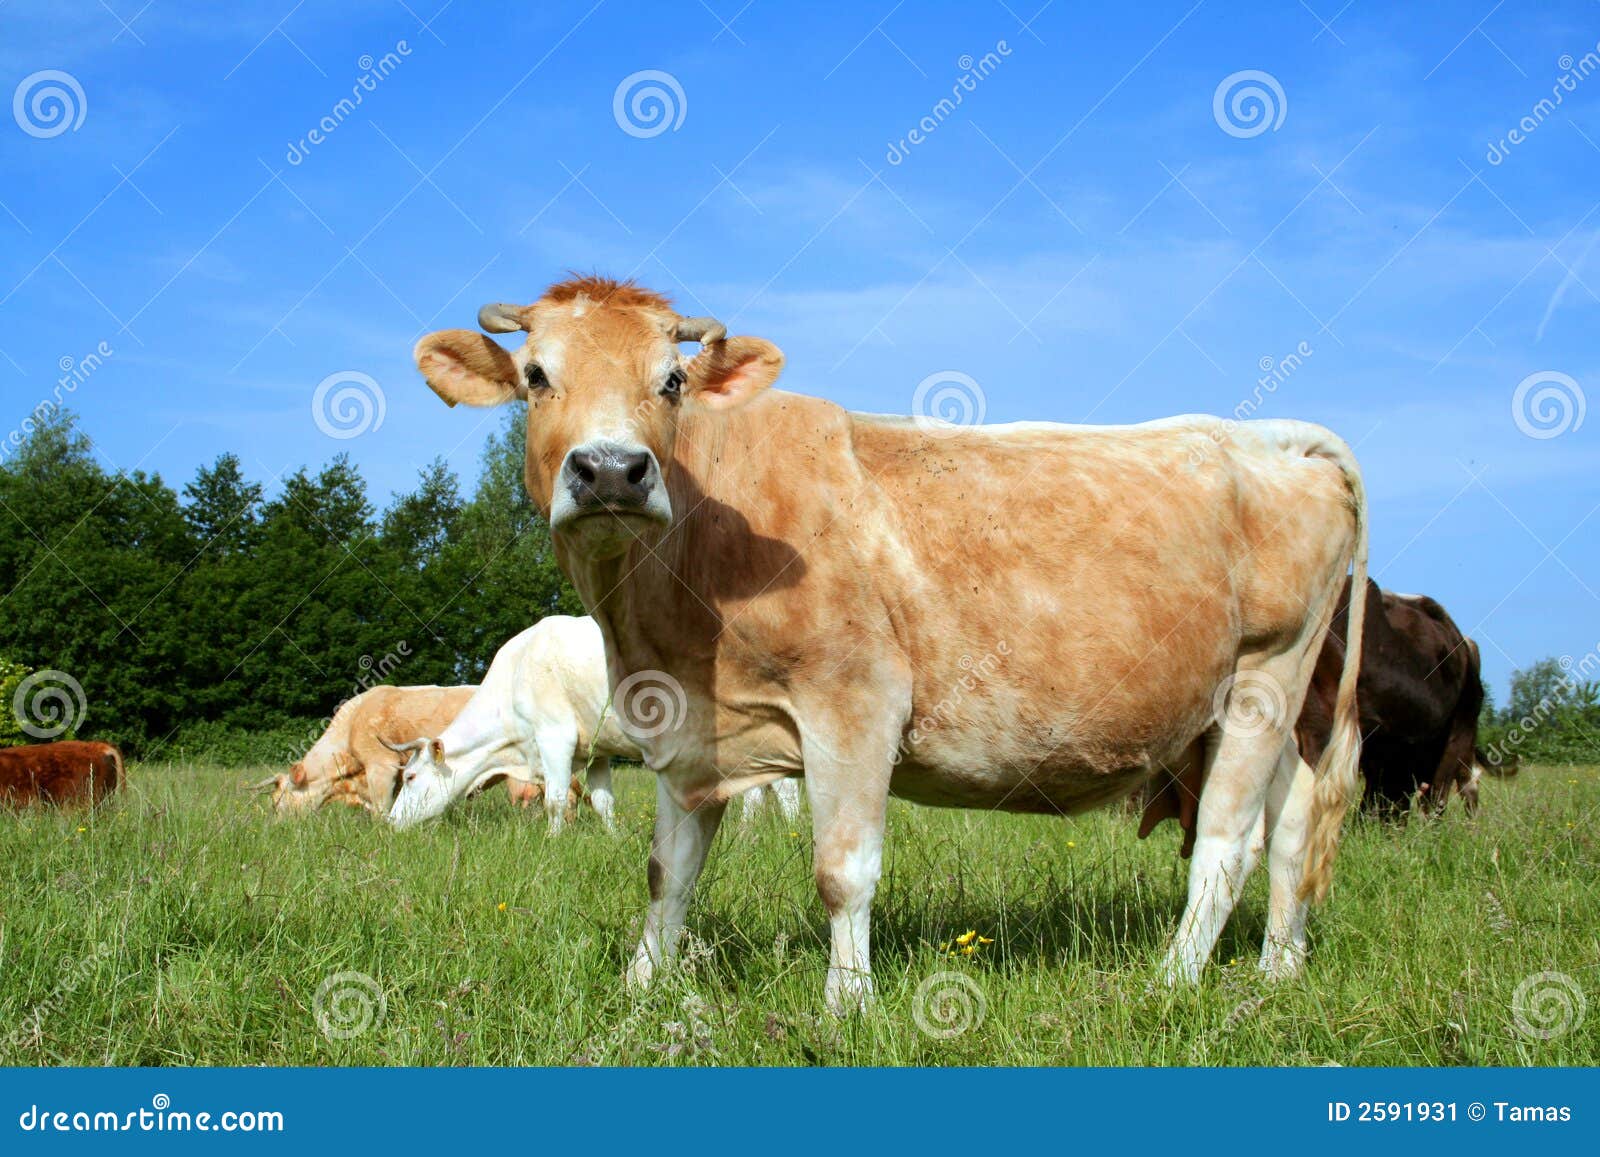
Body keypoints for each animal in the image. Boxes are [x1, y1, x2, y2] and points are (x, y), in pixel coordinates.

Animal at [388, 615, 802, 831]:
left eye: (410, 777)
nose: (389, 822)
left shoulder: (554, 736)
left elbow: (555, 800)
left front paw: (553, 843)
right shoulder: (597, 750)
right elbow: (603, 802)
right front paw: (613, 838)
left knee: (783, 791)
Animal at [1138, 579, 1488, 854]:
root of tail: (1463, 641)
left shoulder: (1321, 729)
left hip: (1457, 736)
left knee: (1437, 798)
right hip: (1395, 756)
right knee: (1389, 804)